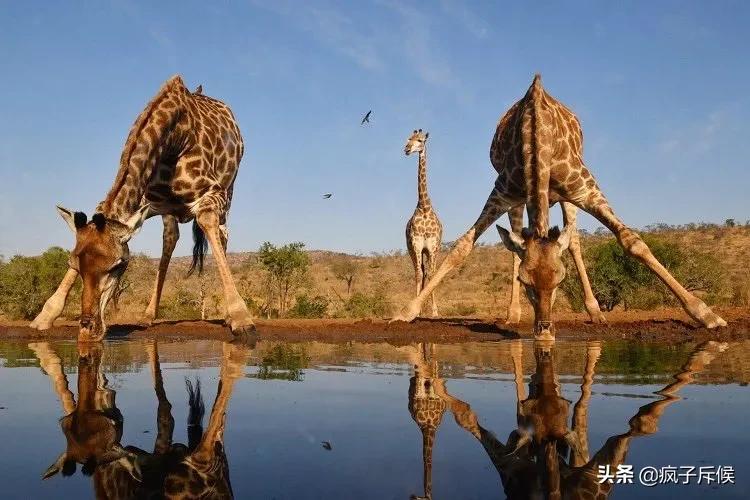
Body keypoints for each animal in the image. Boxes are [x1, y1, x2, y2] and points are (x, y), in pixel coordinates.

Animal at [29, 75, 254, 341]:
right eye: (73, 263)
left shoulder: (211, 193)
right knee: (170, 238)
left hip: (229, 190)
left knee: (222, 233)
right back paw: (148, 315)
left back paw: (227, 315)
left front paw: (241, 318)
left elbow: (208, 222)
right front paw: (44, 317)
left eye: (118, 265)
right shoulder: (146, 203)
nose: (87, 329)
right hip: (169, 210)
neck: (176, 136)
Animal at [392, 74, 726, 338]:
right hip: (521, 202)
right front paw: (407, 311)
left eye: (561, 278)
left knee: (574, 240)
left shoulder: (586, 188)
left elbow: (632, 241)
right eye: (524, 280)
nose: (544, 331)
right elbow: (462, 248)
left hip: (567, 199)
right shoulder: (502, 193)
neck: (537, 136)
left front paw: (705, 314)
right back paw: (513, 314)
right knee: (517, 240)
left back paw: (595, 312)